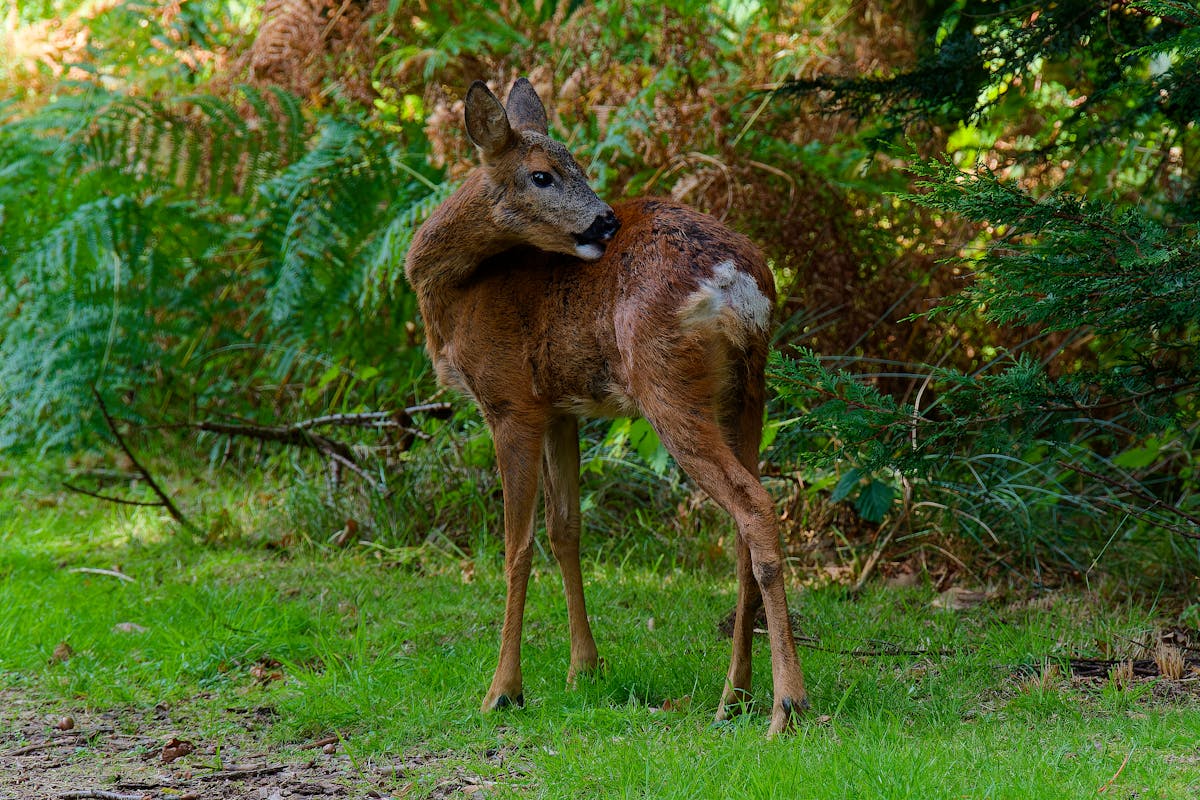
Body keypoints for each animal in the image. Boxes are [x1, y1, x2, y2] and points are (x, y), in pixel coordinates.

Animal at [405, 78, 808, 735]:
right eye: (543, 174)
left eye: (580, 167)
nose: (605, 219)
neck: (458, 296)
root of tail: (738, 284)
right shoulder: (559, 409)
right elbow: (565, 528)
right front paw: (584, 669)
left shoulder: (509, 401)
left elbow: (516, 546)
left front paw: (503, 691)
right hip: (749, 391)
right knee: (745, 521)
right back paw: (733, 696)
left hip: (666, 383)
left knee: (754, 505)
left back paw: (785, 706)